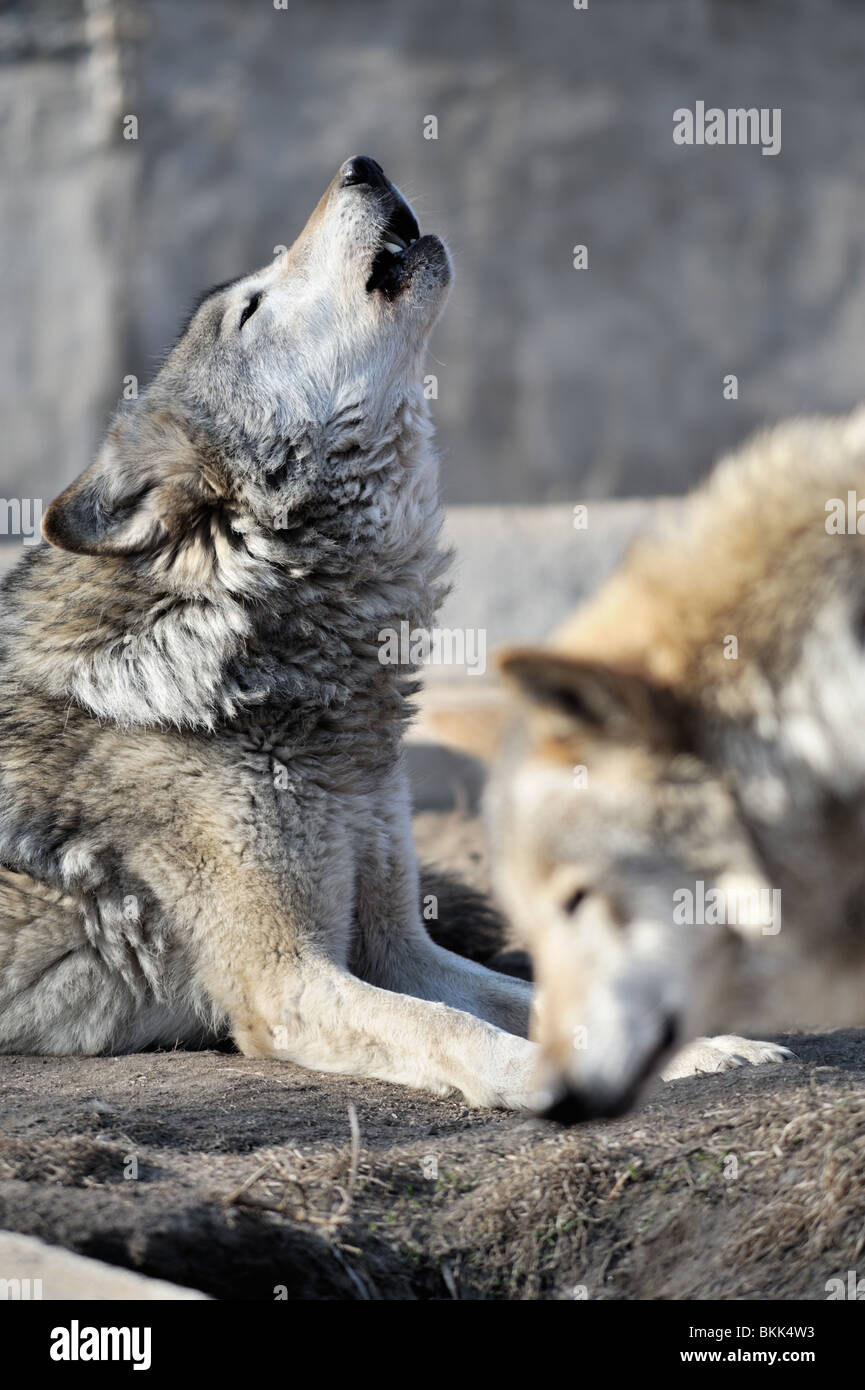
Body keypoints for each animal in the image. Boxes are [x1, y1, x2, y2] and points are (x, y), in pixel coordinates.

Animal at [0, 156, 537, 1108]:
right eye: (249, 309)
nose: (361, 164)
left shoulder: (401, 946)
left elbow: (530, 998)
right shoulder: (285, 980)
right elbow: (456, 1029)